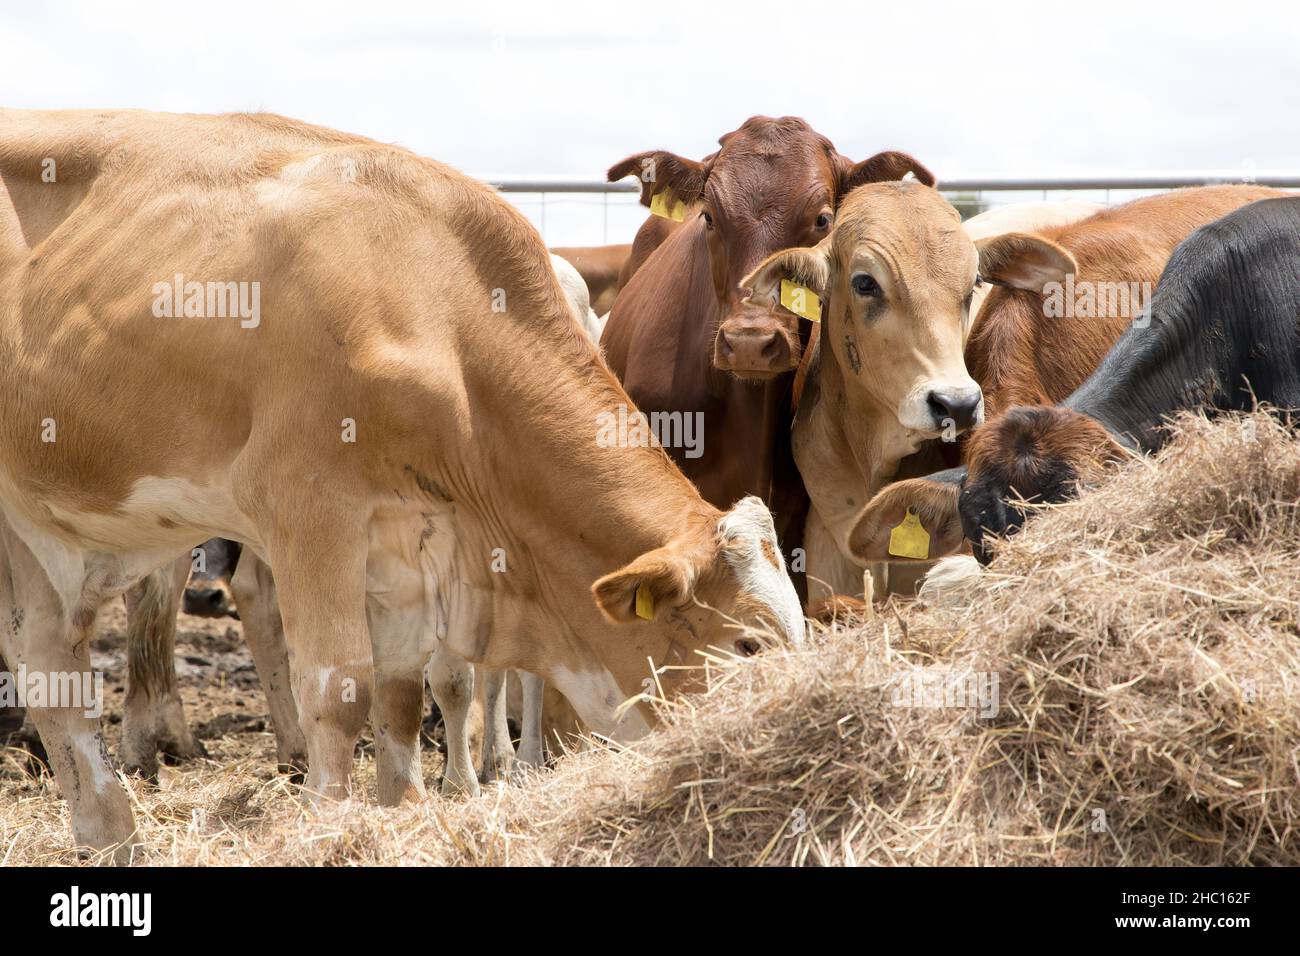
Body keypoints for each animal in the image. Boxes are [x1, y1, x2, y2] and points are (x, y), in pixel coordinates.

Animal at [0, 108, 803, 859]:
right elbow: (338, 690)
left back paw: (109, 833)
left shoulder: (408, 534)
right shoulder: (311, 514)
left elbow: (400, 690)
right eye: (748, 645)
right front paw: (331, 826)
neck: (438, 311)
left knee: (51, 670)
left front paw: (407, 808)